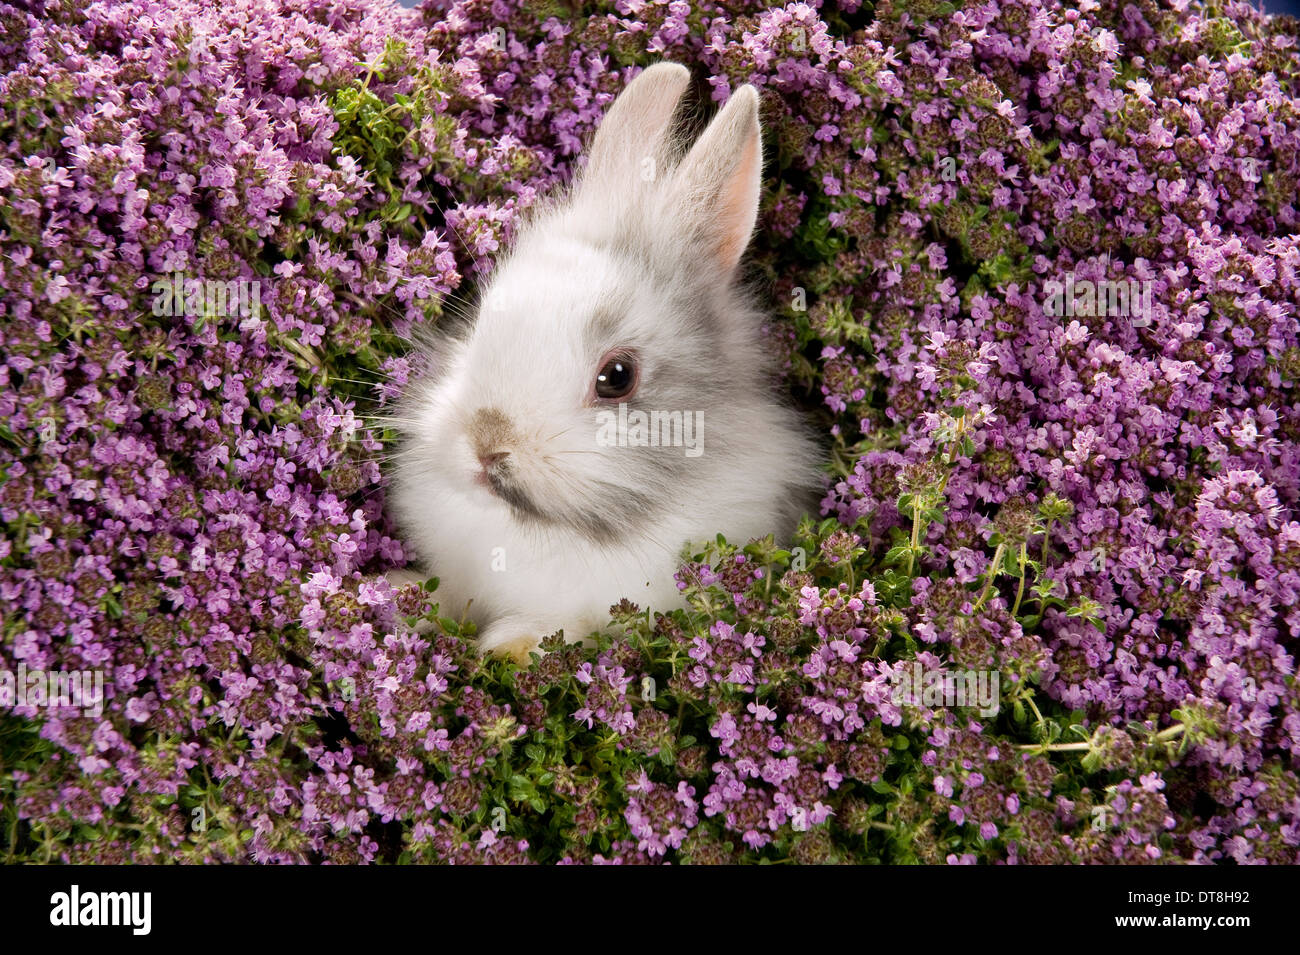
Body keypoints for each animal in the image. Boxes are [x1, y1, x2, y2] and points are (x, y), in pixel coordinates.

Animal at [386, 62, 823, 663]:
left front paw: (509, 647)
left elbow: (571, 626)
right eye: (478, 322)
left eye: (617, 378)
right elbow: (444, 594)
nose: (486, 441)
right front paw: (393, 593)